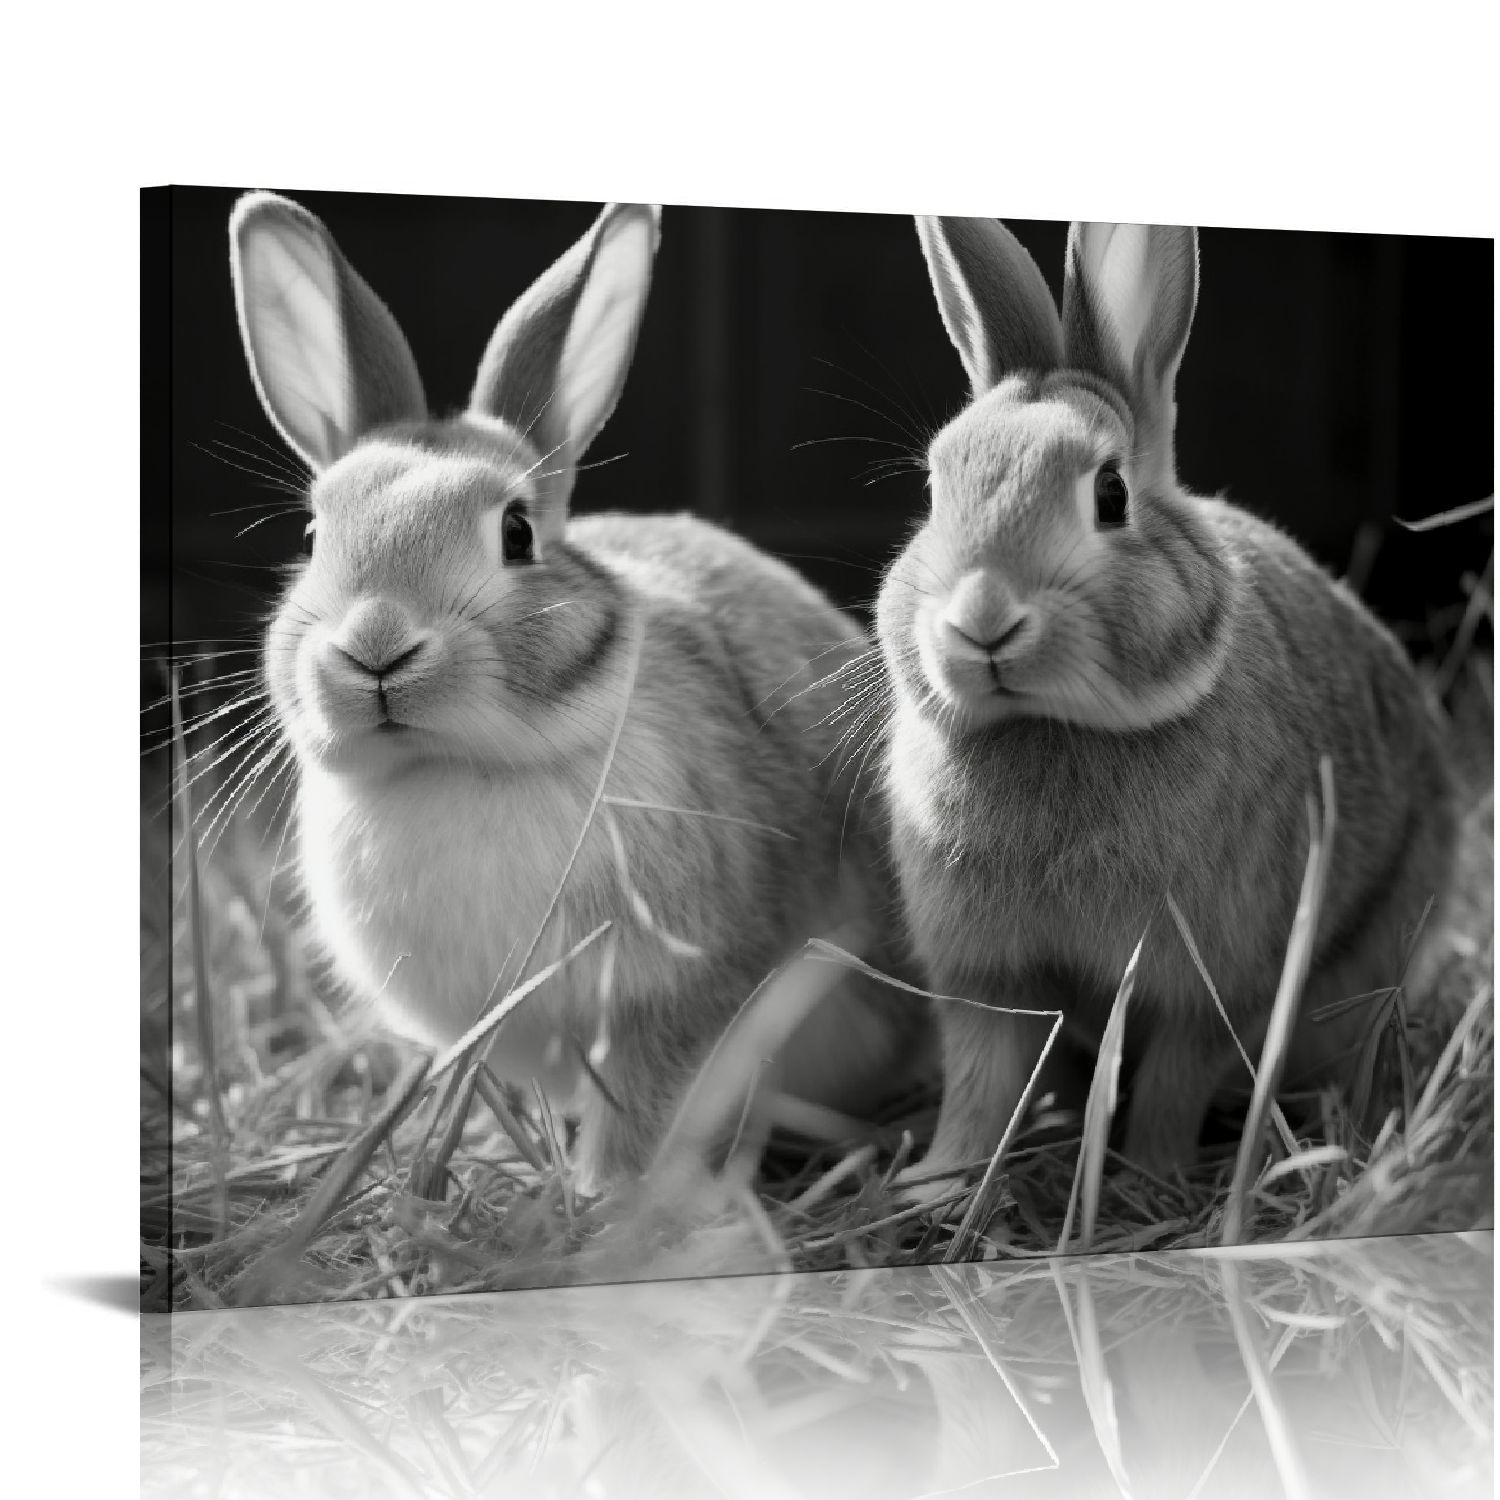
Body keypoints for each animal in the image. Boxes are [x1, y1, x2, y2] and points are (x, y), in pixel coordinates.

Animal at [228, 192, 927, 1194]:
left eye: (517, 532)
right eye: (315, 535)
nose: (375, 649)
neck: (457, 764)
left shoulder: (675, 997)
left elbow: (645, 1105)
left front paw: (606, 1197)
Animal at [874, 216, 1457, 1191]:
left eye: (1110, 493)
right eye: (932, 490)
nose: (984, 620)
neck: (1056, 725)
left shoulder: (1215, 980)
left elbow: (1174, 1085)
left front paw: (1152, 1179)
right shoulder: (985, 979)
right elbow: (982, 1082)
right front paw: (941, 1186)